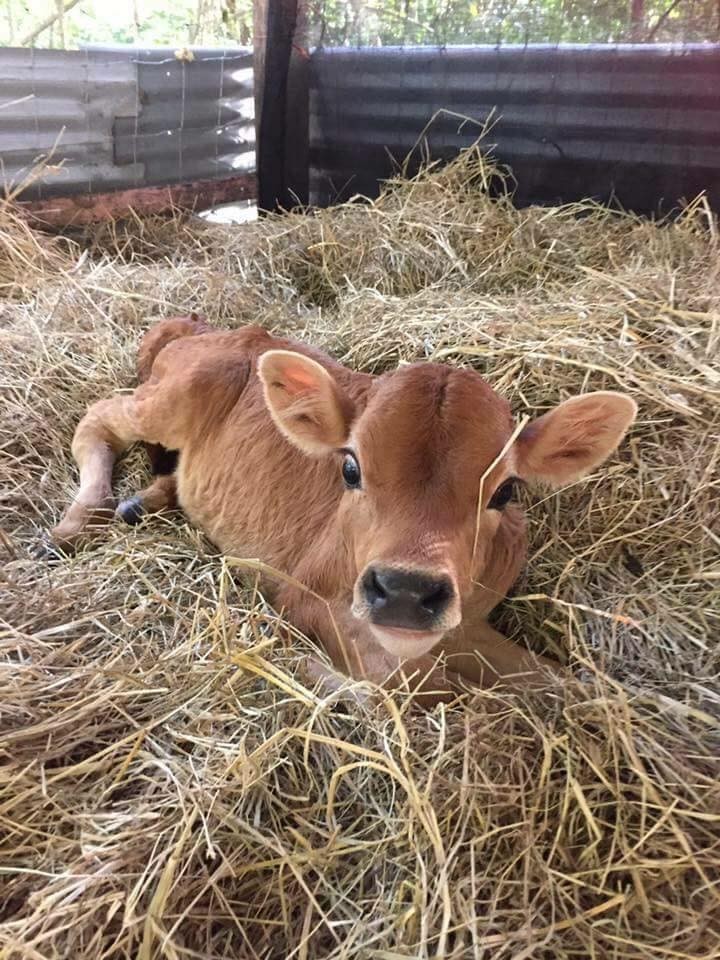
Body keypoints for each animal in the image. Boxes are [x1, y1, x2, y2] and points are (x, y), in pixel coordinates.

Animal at [48, 315, 637, 702]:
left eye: (505, 491)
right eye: (351, 469)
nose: (406, 591)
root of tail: (207, 327)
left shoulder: (466, 624)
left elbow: (574, 684)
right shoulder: (302, 595)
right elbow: (406, 686)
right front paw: (318, 673)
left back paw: (141, 503)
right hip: (171, 400)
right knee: (98, 418)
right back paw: (78, 521)